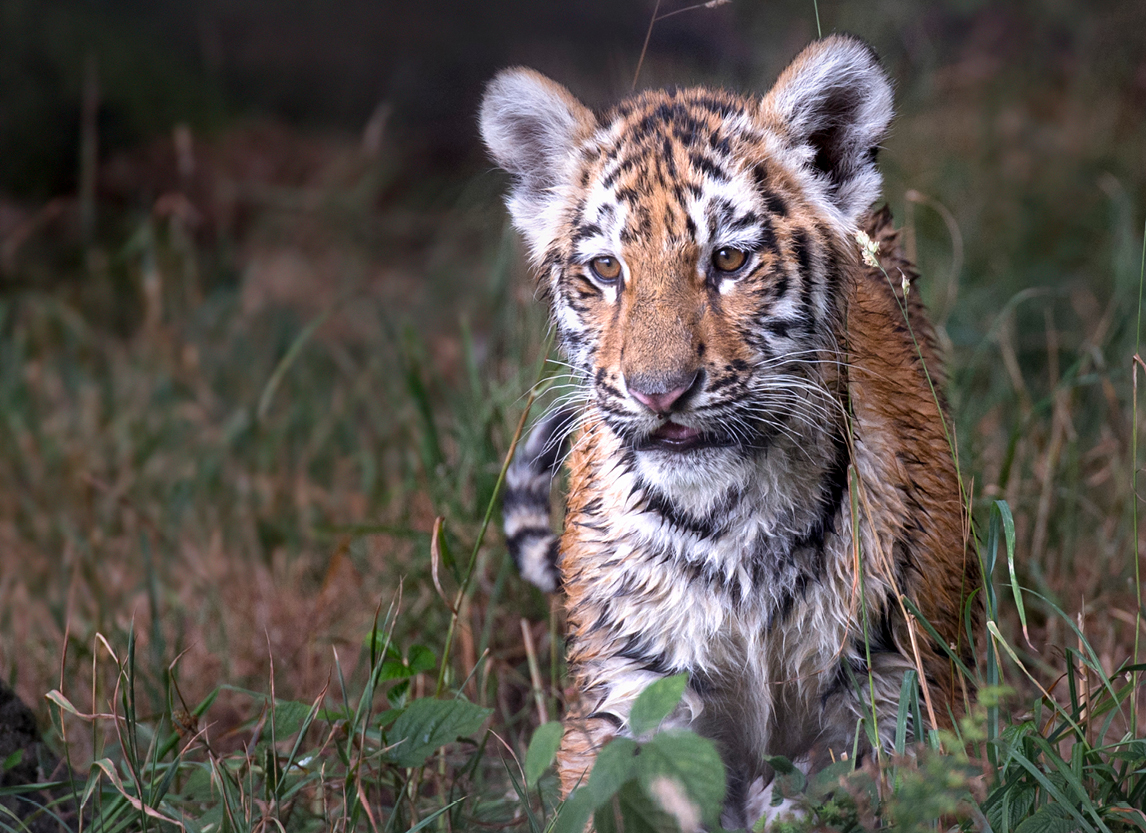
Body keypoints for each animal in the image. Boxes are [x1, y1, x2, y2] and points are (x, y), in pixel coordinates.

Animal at [483, 35, 979, 828]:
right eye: (606, 268)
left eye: (729, 259)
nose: (659, 391)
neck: (727, 520)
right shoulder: (627, 710)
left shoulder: (902, 694)